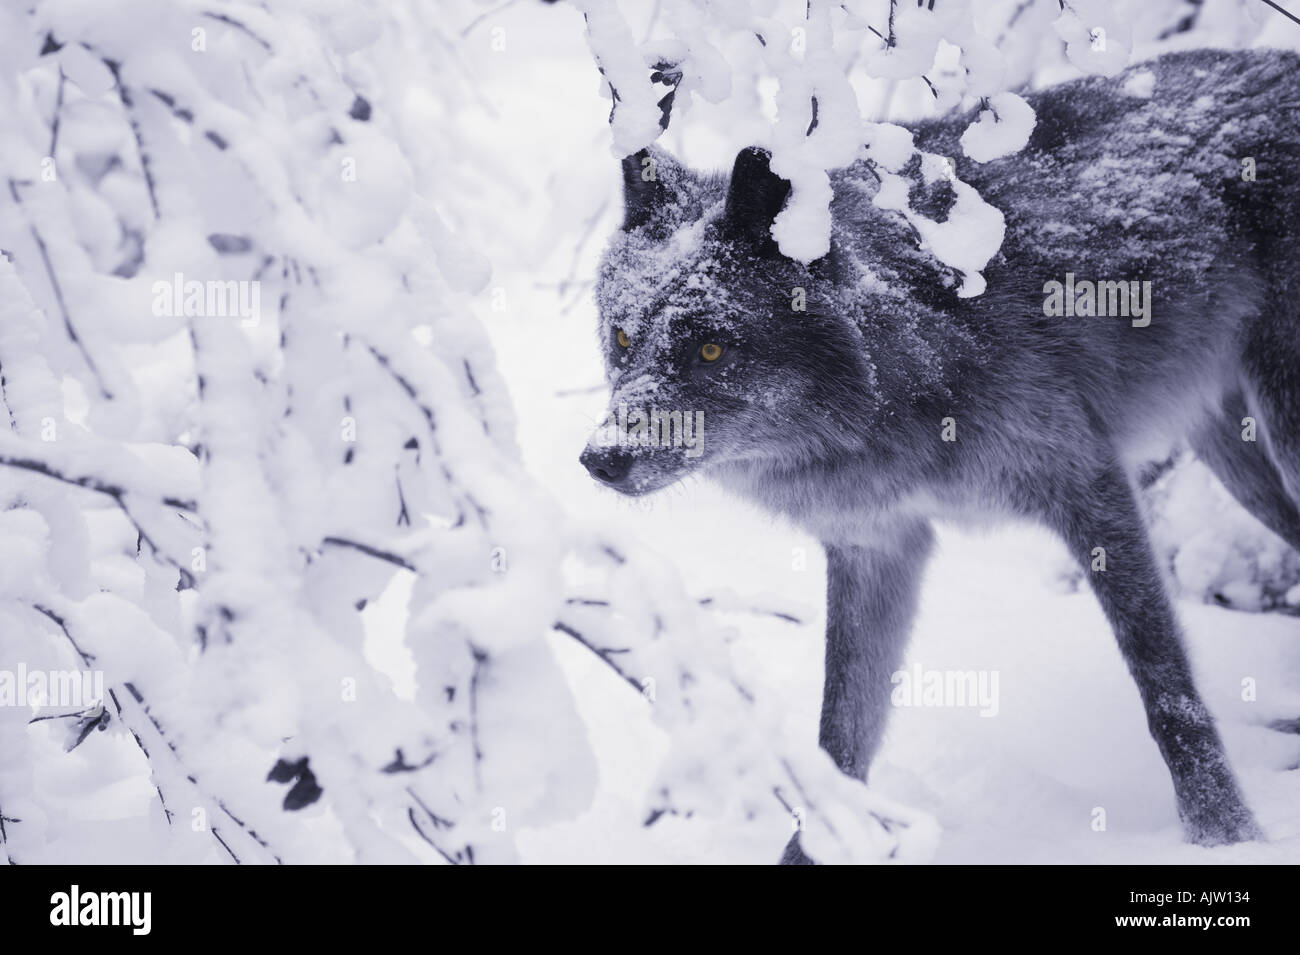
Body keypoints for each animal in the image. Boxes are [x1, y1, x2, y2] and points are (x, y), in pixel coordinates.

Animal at [580, 48, 1300, 860]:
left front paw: (1226, 836)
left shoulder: (1090, 487)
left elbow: (1167, 691)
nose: (601, 458)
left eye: (709, 348)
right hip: (1238, 461)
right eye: (624, 338)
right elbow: (840, 740)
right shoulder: (877, 547)